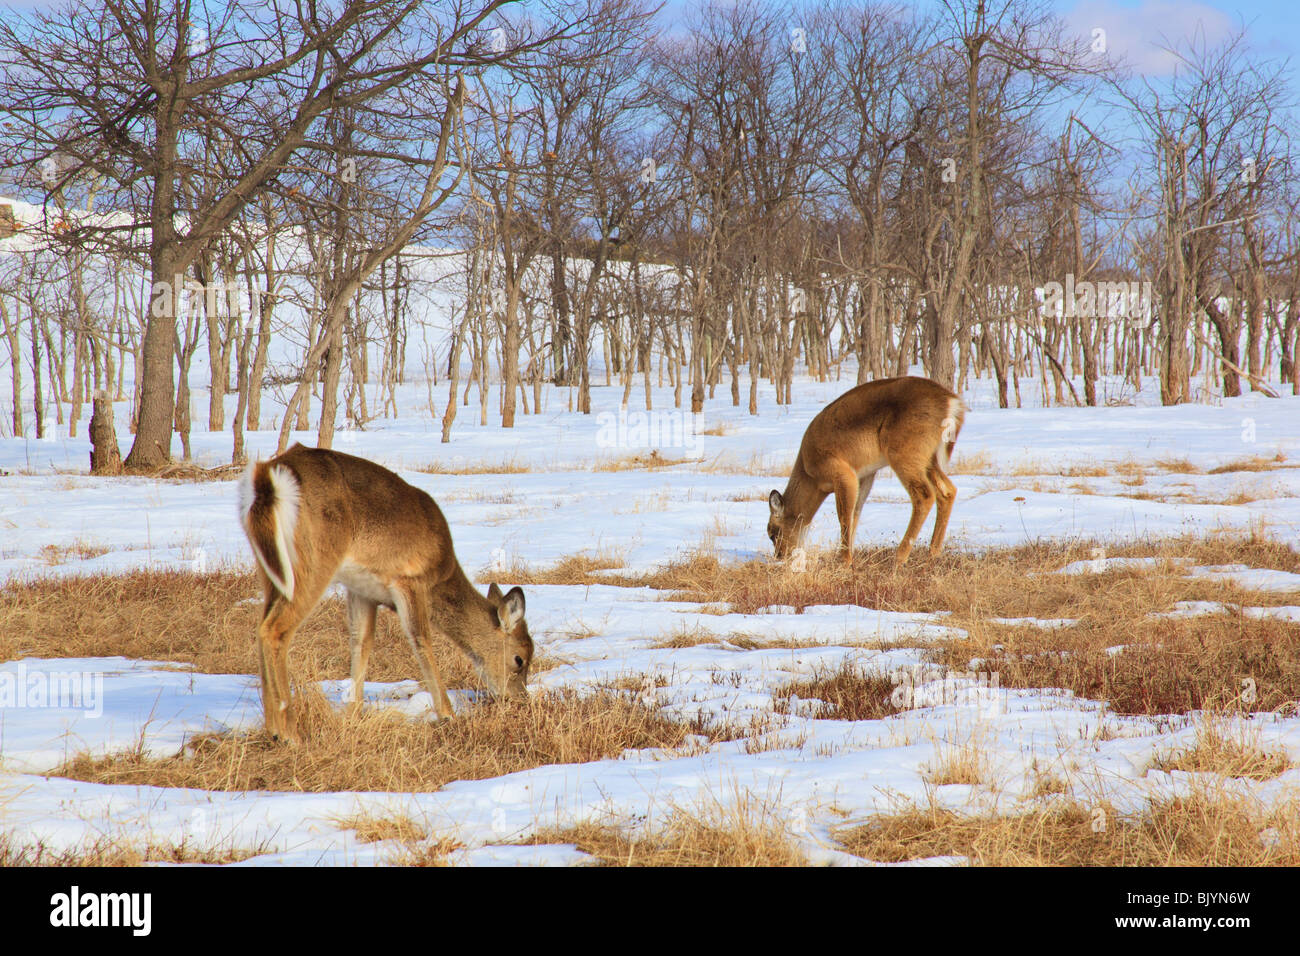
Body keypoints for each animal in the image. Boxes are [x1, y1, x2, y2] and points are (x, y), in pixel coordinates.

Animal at [238, 443, 533, 743]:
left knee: (261, 626)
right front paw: (448, 714)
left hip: (269, 566)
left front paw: (354, 714)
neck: (440, 574)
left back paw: (272, 727)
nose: (521, 699)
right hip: (314, 559)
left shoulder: (362, 590)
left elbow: (361, 641)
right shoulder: (409, 580)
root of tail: (267, 475)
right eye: (520, 659)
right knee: (275, 629)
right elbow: (421, 639)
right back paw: (288, 732)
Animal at [766, 376, 965, 566]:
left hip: (904, 454)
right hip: (929, 459)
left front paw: (845, 561)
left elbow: (844, 517)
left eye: (772, 532)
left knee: (924, 495)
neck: (810, 475)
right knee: (948, 491)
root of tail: (952, 402)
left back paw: (900, 558)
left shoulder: (842, 473)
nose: (780, 555)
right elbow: (855, 513)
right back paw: (933, 552)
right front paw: (849, 556)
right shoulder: (865, 475)